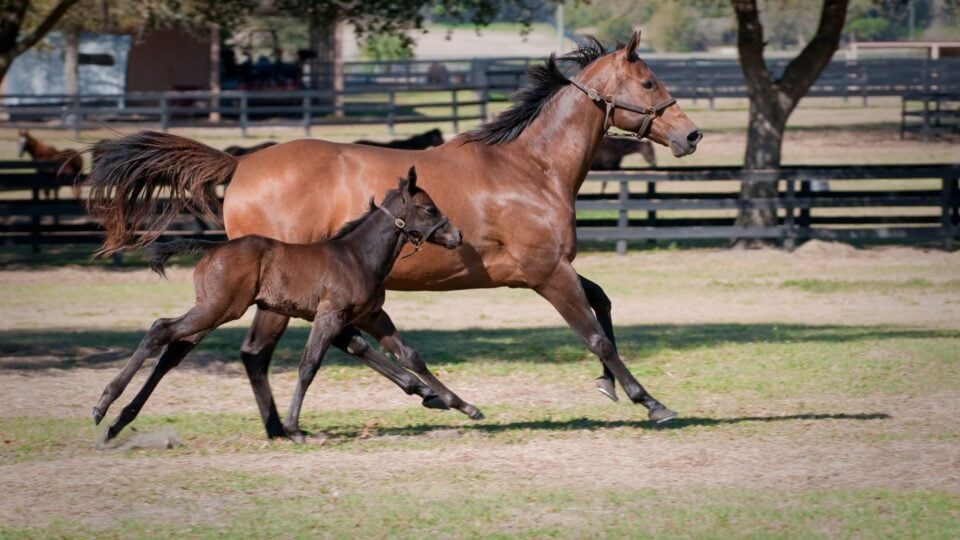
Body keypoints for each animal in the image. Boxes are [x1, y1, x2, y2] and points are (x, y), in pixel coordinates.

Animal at [92, 168, 473, 443]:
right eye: (429, 208)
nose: (457, 236)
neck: (357, 256)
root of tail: (214, 248)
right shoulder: (330, 316)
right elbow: (309, 365)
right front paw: (293, 428)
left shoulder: (368, 316)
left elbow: (407, 356)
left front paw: (457, 403)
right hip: (220, 309)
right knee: (160, 329)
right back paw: (102, 405)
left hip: (212, 311)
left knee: (172, 350)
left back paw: (117, 422)